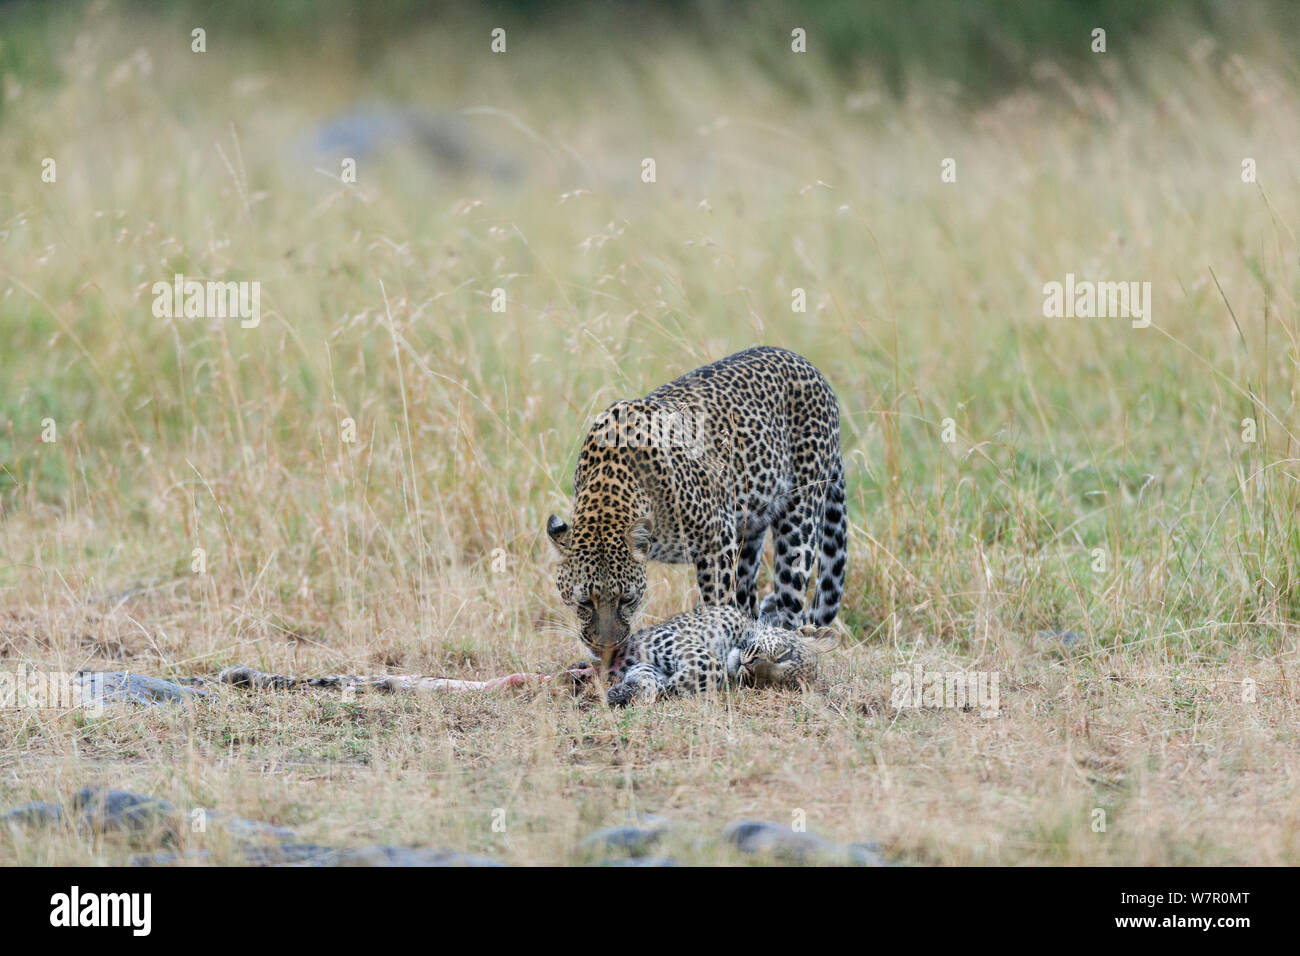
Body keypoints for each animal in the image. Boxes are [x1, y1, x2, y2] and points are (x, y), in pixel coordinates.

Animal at [546, 346, 847, 665]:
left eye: (627, 599)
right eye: (584, 602)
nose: (606, 649)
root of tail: (806, 364)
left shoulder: (717, 541)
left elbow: (718, 603)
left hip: (800, 518)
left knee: (791, 600)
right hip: (749, 530)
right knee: (748, 596)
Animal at [597, 604, 840, 707]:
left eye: (765, 683)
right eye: (783, 655)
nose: (752, 667)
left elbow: (647, 674)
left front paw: (629, 691)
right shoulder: (662, 635)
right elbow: (708, 660)